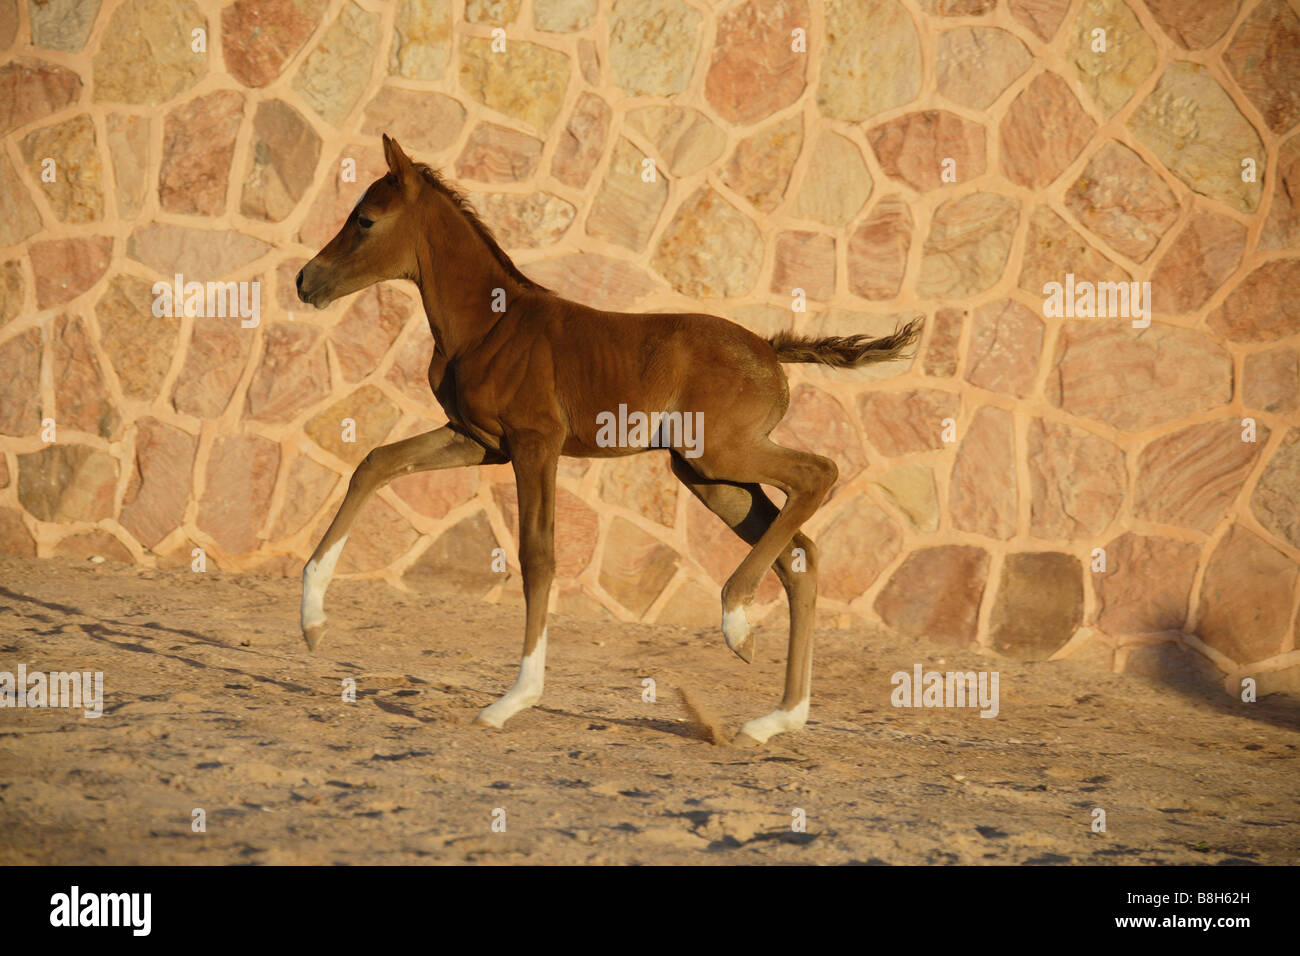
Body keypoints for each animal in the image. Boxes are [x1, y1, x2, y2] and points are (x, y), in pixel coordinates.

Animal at [296, 135, 921, 746]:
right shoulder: (476, 440)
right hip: (709, 475)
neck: (489, 323)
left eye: (365, 220)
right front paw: (312, 622)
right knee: (799, 555)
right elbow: (375, 463)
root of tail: (770, 351)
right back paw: (776, 719)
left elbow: (538, 555)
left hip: (722, 454)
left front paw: (513, 700)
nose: (305, 280)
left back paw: (737, 624)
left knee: (819, 474)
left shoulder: (534, 444)